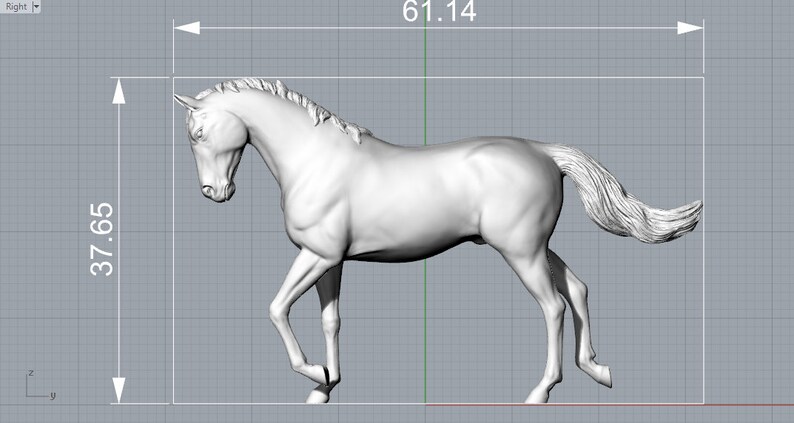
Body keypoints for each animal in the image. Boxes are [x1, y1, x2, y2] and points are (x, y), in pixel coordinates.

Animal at [174, 78, 702, 404]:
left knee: (553, 306)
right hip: (536, 247)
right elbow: (330, 320)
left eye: (199, 132)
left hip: (520, 252)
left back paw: (541, 391)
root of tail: (543, 153)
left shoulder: (316, 256)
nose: (214, 193)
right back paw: (598, 370)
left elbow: (277, 308)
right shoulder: (332, 261)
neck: (315, 160)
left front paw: (312, 373)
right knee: (577, 289)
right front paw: (325, 387)